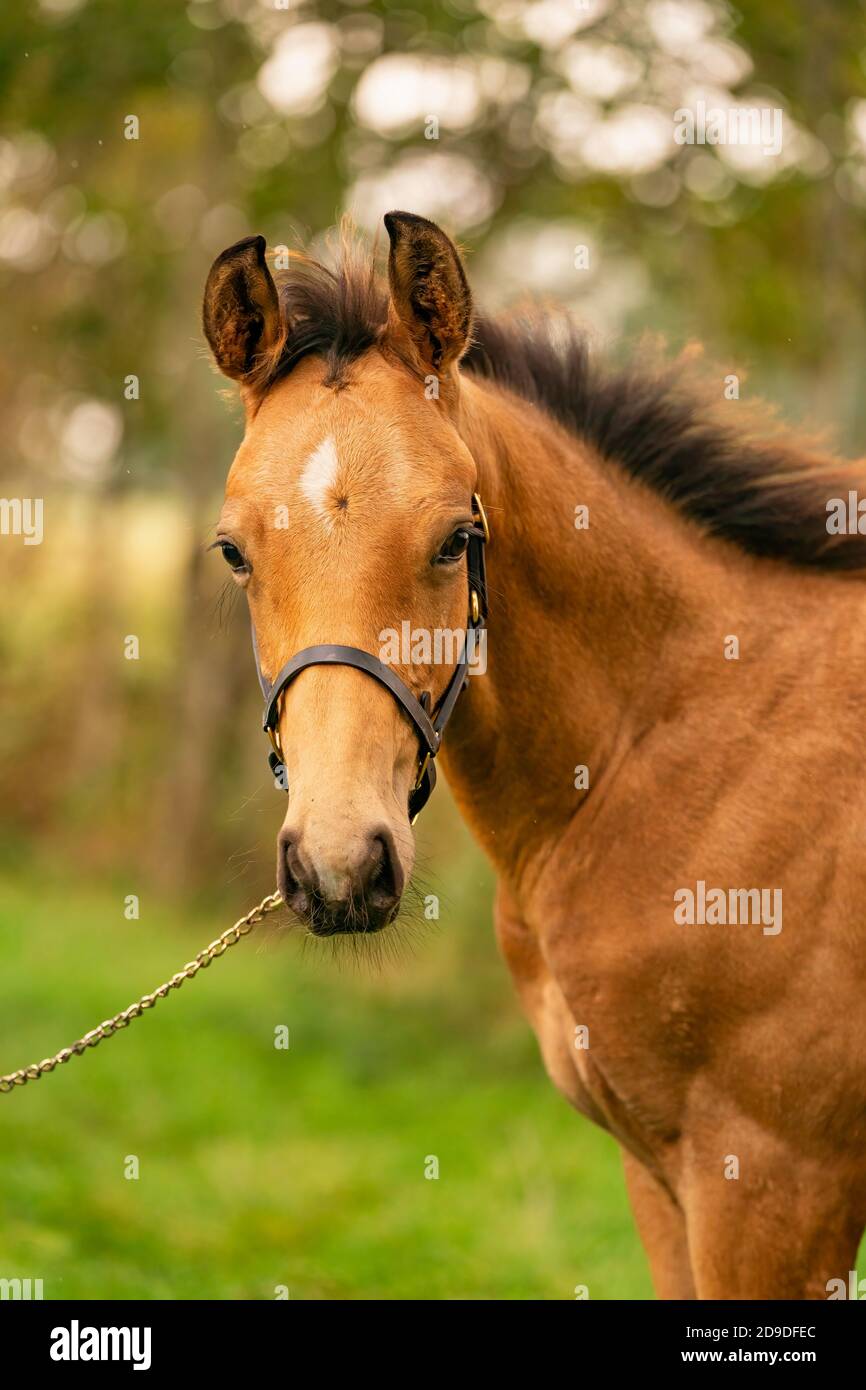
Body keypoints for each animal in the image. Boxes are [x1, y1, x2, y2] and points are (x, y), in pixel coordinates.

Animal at [202, 212, 866, 1300]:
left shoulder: (775, 1187)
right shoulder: (660, 1179)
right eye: (234, 552)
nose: (339, 867)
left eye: (452, 537)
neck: (668, 743)